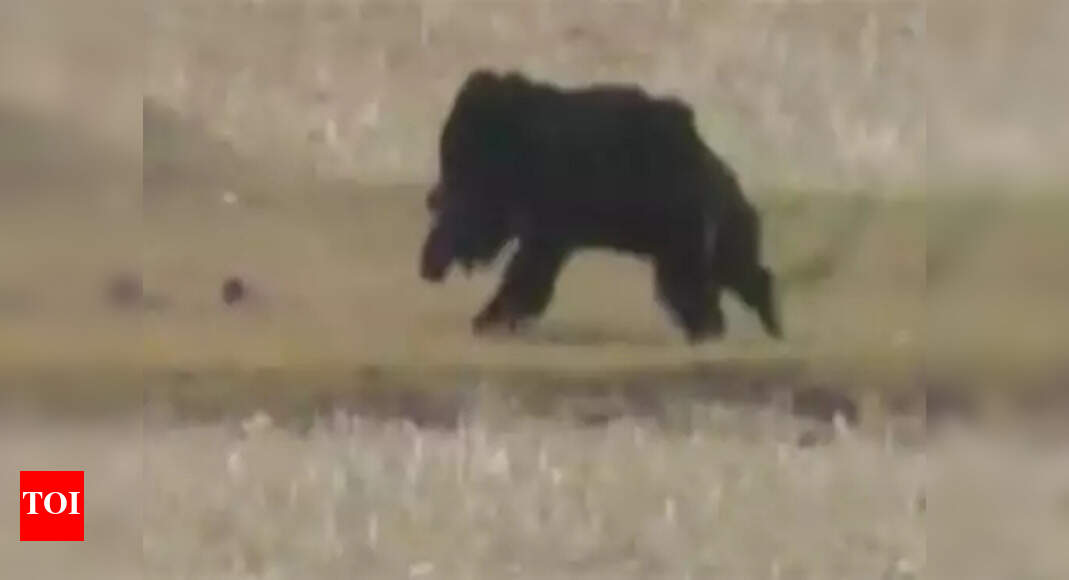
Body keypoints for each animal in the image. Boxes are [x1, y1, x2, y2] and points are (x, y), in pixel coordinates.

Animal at [419, 70, 780, 342]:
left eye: (457, 158)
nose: (434, 197)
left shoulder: (545, 227)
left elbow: (524, 273)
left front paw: (491, 318)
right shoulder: (546, 230)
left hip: (692, 241)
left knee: (717, 281)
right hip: (713, 241)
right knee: (739, 273)